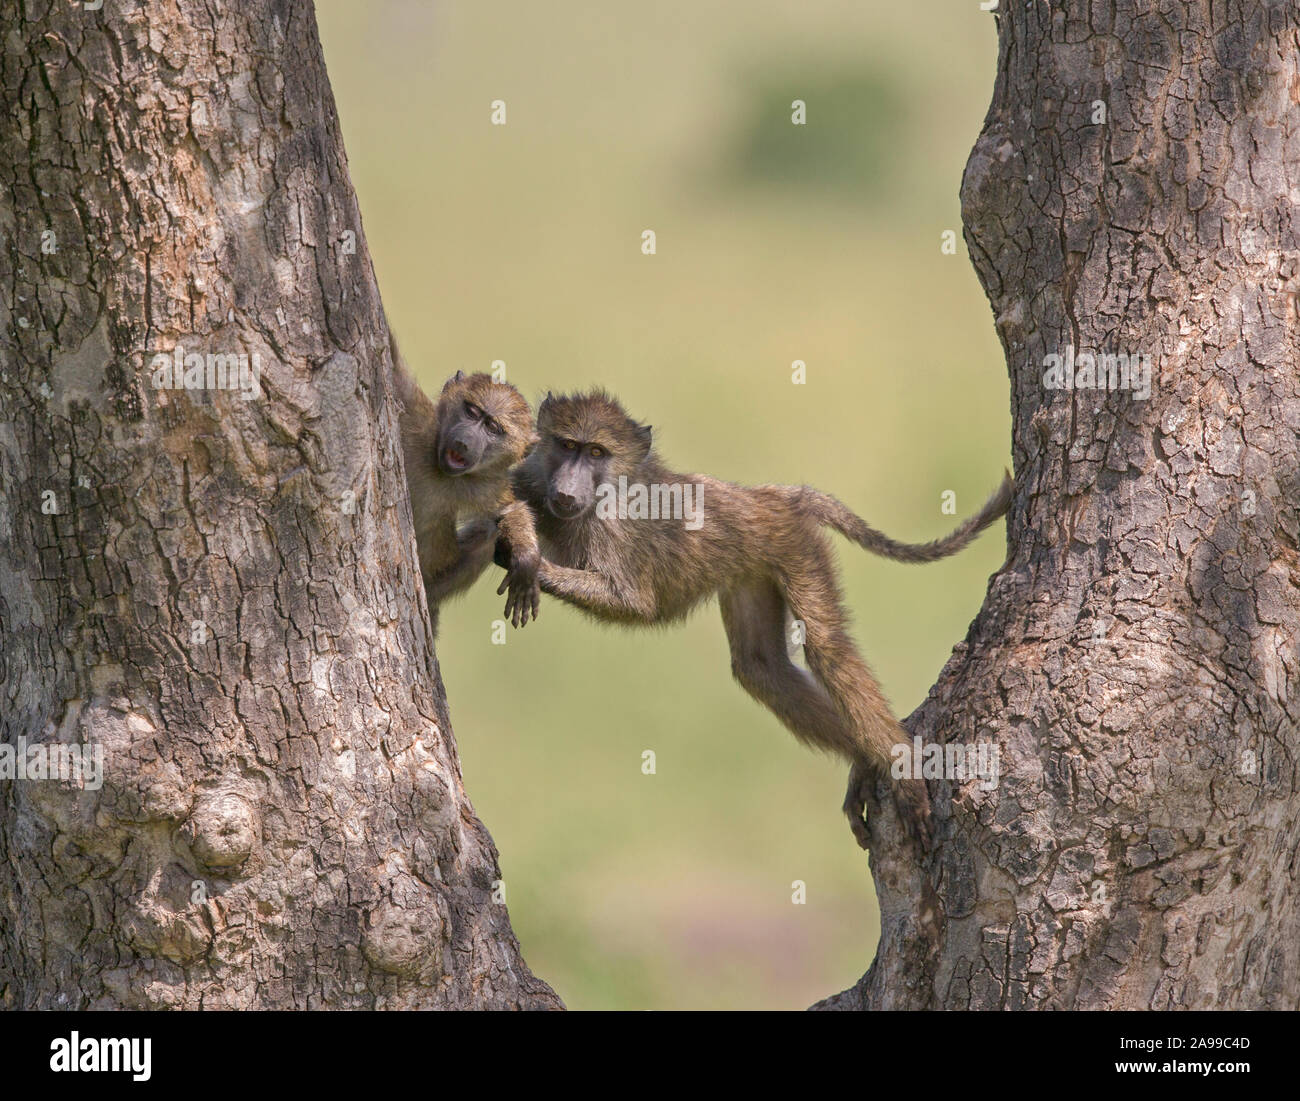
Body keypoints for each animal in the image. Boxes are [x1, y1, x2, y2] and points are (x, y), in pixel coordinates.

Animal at [391, 333, 541, 634]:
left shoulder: (485, 485)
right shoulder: (417, 418)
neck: (441, 473)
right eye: (472, 412)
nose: (464, 442)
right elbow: (393, 364)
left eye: (493, 428)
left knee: (488, 536)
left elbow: (508, 511)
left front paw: (528, 558)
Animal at [501, 389, 1013, 851]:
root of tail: (769, 496)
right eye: (567, 445)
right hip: (752, 570)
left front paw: (531, 566)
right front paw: (517, 543)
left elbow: (635, 602)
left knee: (826, 648)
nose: (567, 489)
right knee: (761, 667)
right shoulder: (530, 478)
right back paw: (865, 761)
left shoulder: (616, 532)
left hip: (795, 550)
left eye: (596, 453)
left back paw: (897, 766)